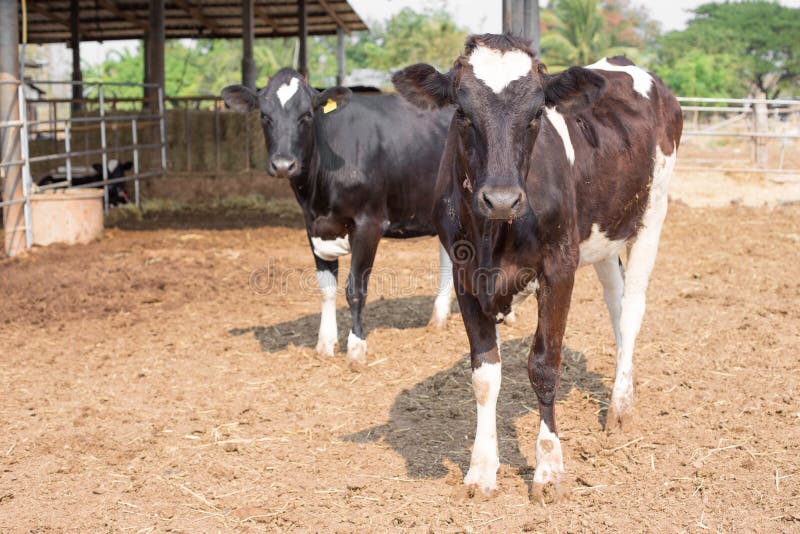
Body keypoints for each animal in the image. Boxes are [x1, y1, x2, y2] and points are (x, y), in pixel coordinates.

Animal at [221, 69, 456, 365]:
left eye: (307, 115)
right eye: (264, 115)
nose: (283, 164)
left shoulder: (369, 224)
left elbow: (355, 288)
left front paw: (356, 348)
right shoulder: (312, 226)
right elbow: (326, 287)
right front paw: (325, 343)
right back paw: (438, 318)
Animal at [392, 34, 682, 500]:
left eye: (536, 114)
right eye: (461, 112)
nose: (502, 199)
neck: (493, 236)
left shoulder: (559, 267)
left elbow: (544, 366)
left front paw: (548, 468)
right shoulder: (464, 276)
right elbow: (484, 374)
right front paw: (482, 469)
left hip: (653, 213)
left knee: (633, 309)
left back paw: (620, 406)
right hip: (602, 235)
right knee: (617, 304)